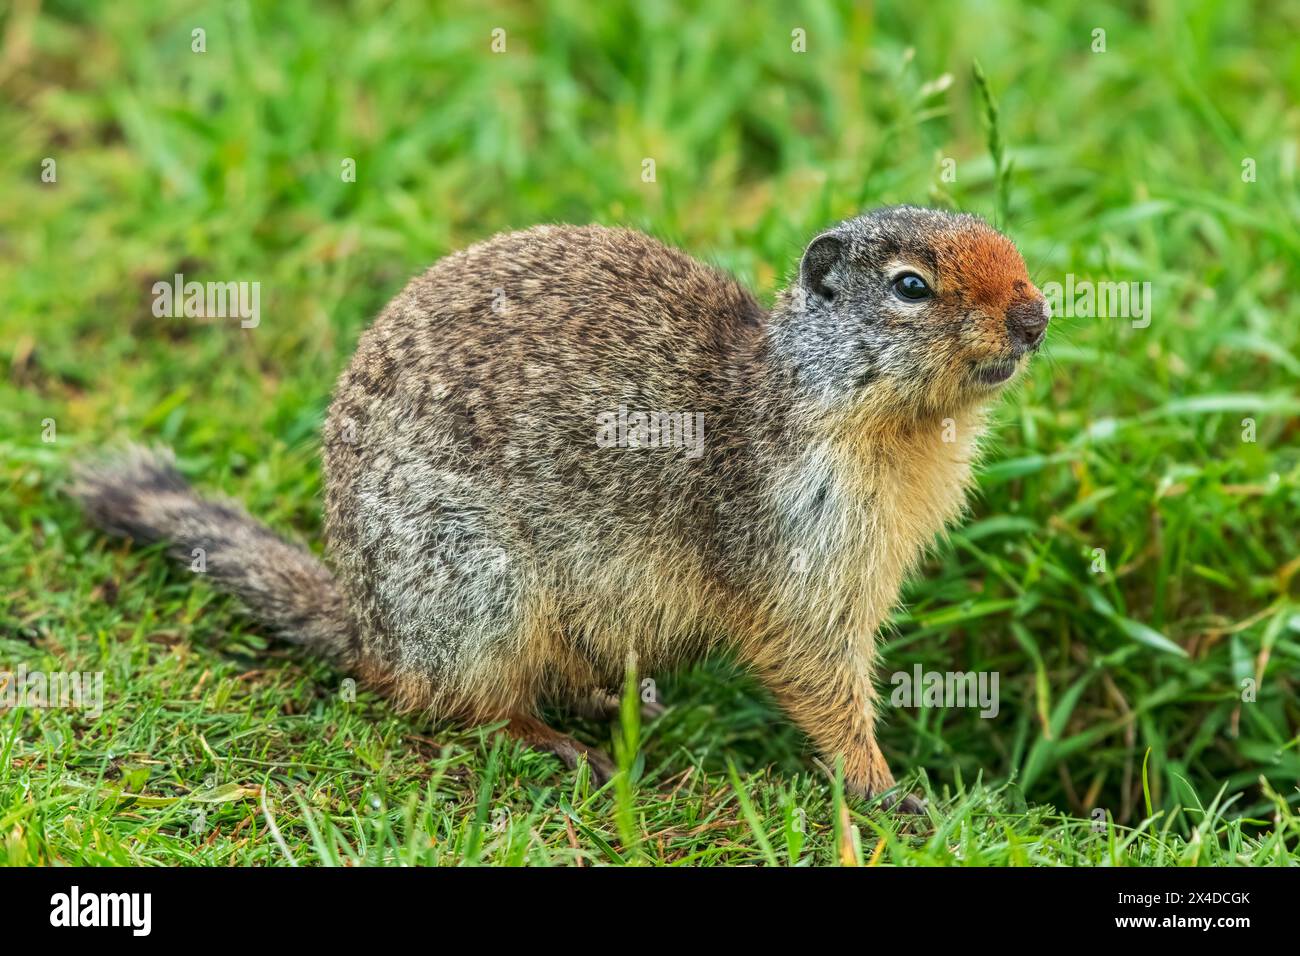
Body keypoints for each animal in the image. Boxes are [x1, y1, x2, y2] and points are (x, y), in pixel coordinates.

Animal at [74, 205, 1049, 812]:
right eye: (911, 286)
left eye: (1008, 246)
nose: (1038, 316)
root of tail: (367, 627)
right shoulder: (802, 538)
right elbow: (817, 665)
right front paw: (886, 788)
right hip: (477, 584)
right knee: (460, 703)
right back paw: (560, 740)